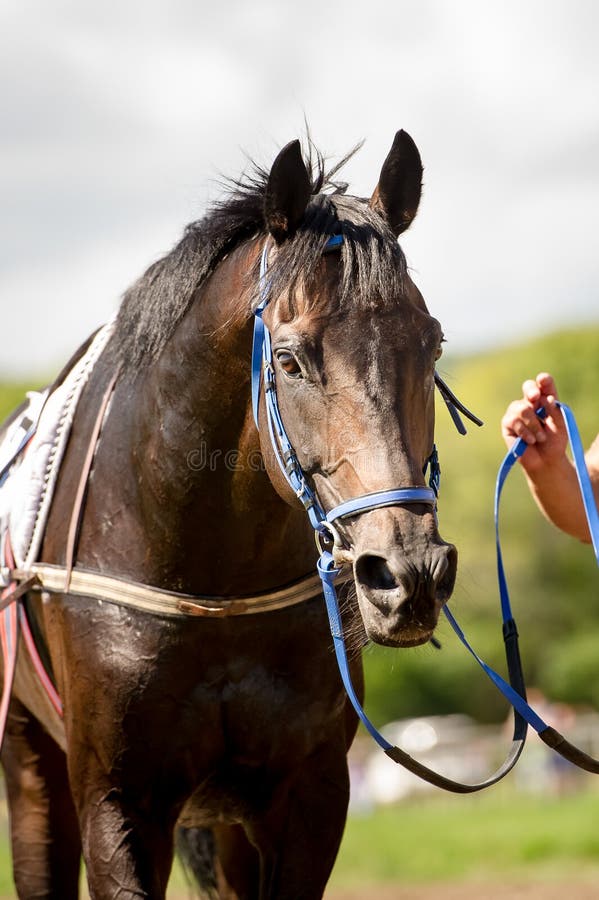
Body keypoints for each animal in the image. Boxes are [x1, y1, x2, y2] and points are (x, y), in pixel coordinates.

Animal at [0, 130, 458, 899]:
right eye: (290, 359)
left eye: (432, 342)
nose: (410, 572)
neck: (212, 586)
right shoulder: (117, 804)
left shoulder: (305, 800)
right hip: (34, 770)